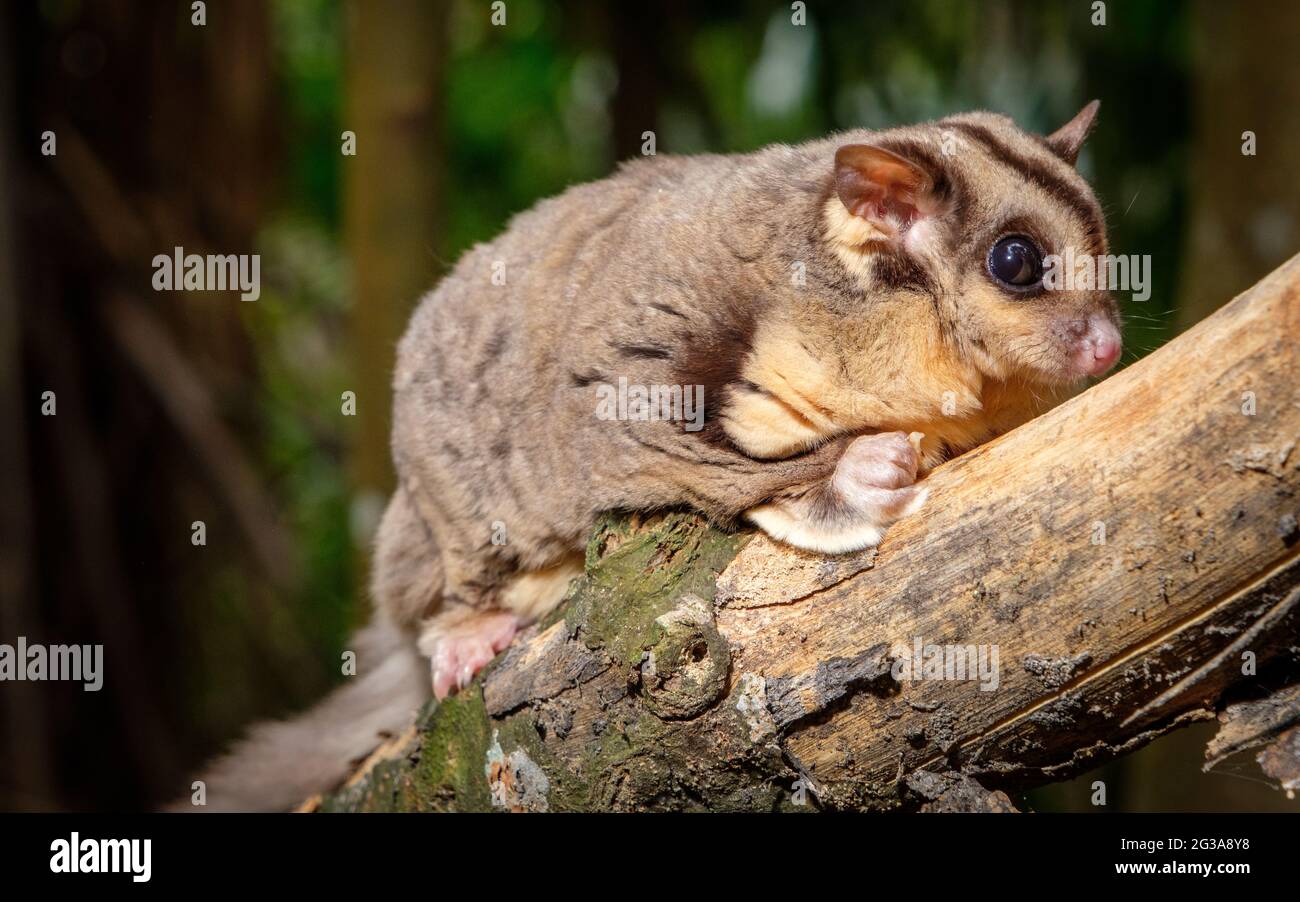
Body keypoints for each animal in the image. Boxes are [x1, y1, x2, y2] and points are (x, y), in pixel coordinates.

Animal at [189, 103, 1120, 810]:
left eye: (1106, 253)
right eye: (1016, 262)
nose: (1109, 345)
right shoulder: (658, 362)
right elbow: (661, 444)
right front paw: (858, 474)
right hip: (433, 515)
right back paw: (465, 629)